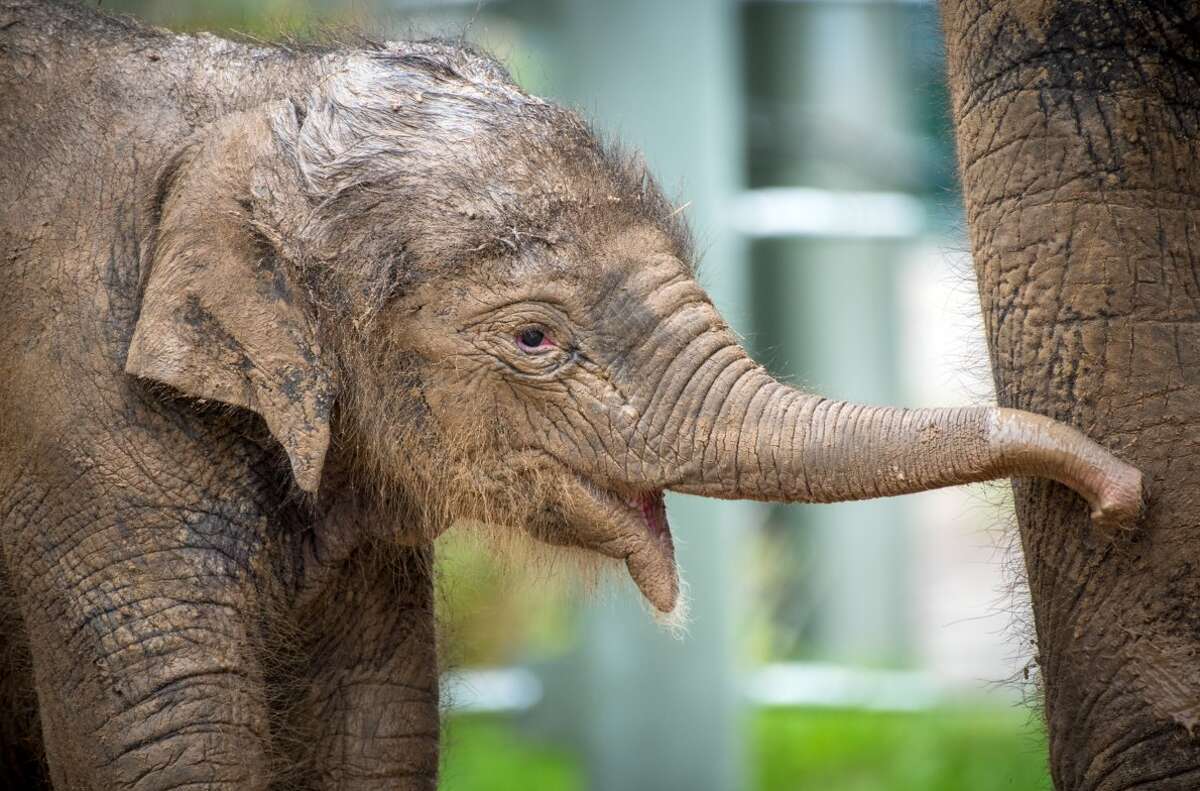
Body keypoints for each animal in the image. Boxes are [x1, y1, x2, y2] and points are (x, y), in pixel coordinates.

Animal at [0, 2, 1142, 789]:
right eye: (535, 339)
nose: (1122, 493)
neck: (241, 105)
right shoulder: (85, 434)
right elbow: (171, 729)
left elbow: (378, 725)